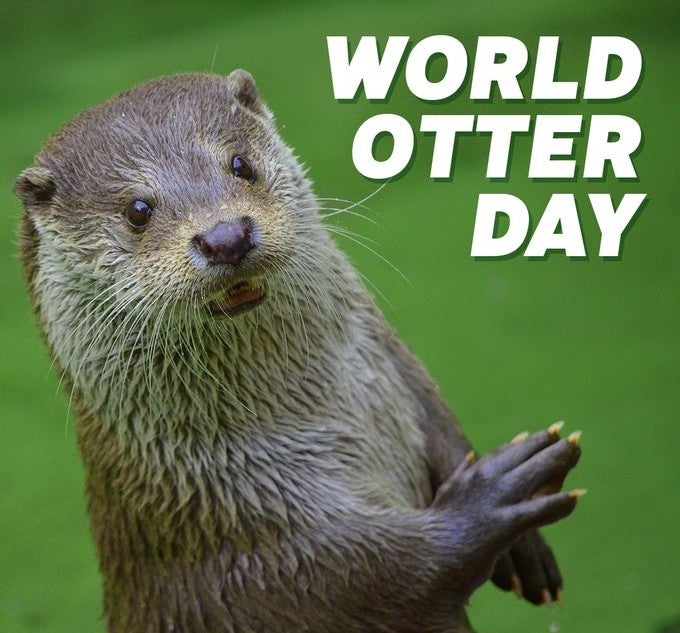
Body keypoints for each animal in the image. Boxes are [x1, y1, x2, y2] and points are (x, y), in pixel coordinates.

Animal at [14, 70, 582, 633]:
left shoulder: (402, 377)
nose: (226, 235)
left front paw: (525, 548)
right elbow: (375, 576)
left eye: (240, 164)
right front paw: (495, 496)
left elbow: (442, 426)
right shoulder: (250, 547)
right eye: (137, 210)